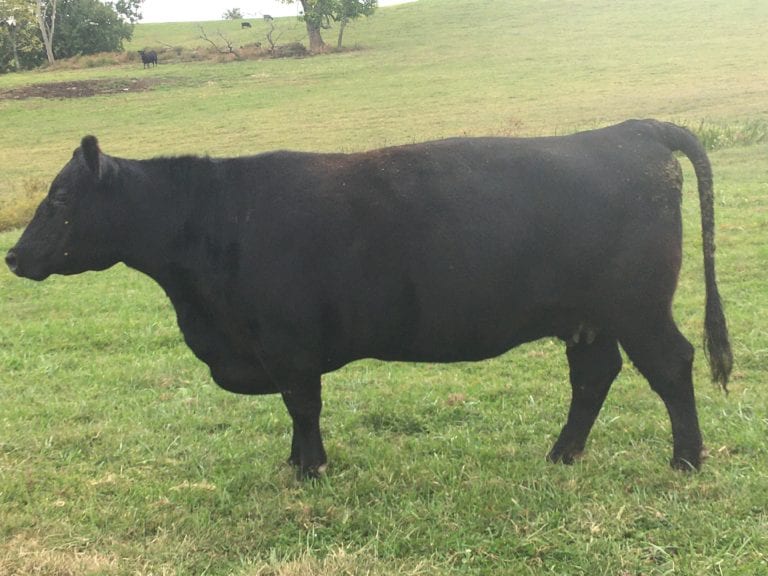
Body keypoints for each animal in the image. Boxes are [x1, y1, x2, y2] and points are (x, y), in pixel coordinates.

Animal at [5, 120, 732, 478]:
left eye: (61, 201)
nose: (13, 256)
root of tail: (626, 130)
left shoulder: (287, 345)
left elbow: (303, 406)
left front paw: (310, 471)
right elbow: (297, 411)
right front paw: (294, 464)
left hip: (638, 305)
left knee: (671, 366)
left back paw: (686, 461)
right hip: (588, 317)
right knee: (594, 375)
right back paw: (562, 455)